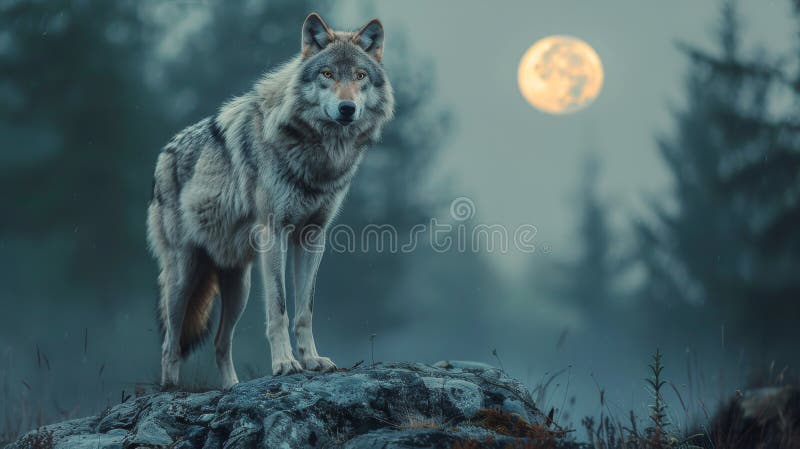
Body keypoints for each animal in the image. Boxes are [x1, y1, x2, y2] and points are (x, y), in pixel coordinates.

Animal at [146, 13, 394, 388]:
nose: (347, 108)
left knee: (220, 343)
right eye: (327, 74)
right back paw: (171, 390)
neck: (317, 156)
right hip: (183, 278)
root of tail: (163, 155)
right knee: (169, 342)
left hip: (239, 287)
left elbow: (304, 310)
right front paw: (285, 364)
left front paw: (312, 360)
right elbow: (279, 309)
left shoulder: (312, 237)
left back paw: (232, 388)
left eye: (360, 76)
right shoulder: (274, 233)